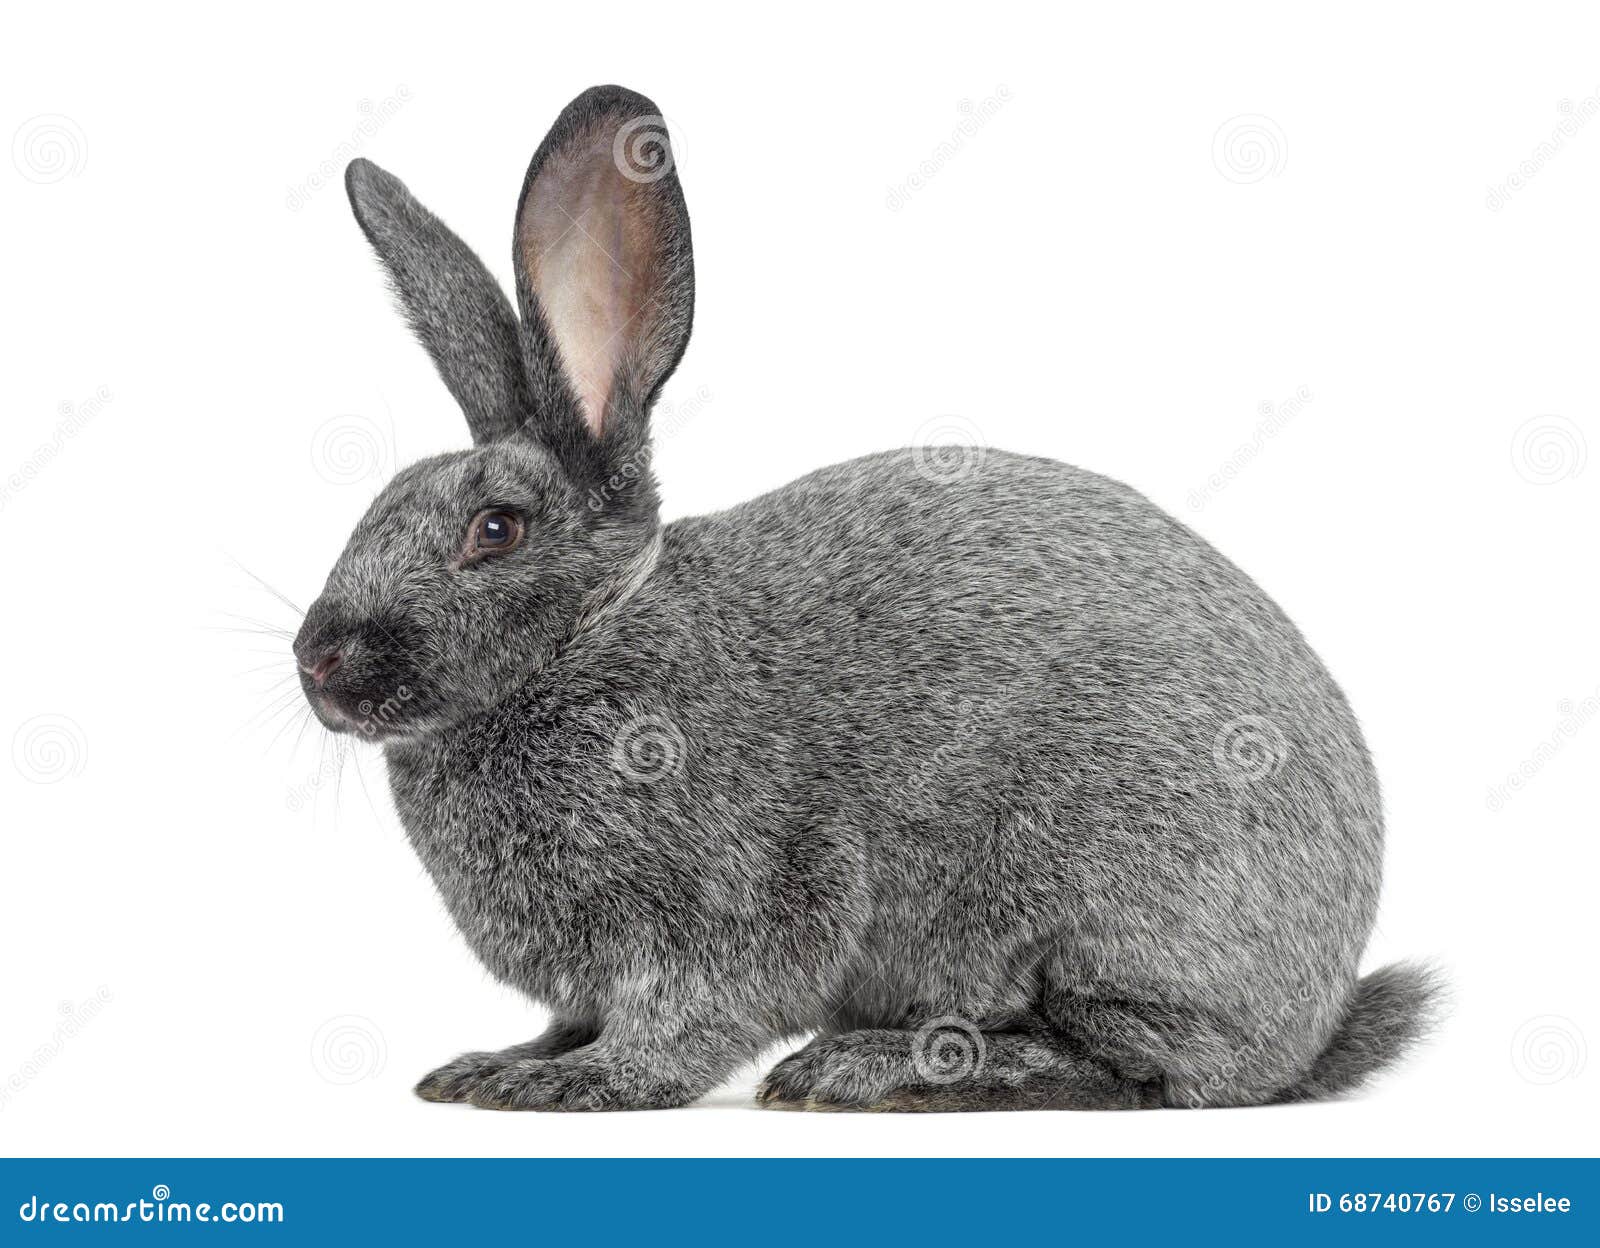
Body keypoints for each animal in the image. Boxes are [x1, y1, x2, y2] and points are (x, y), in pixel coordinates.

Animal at [292, 84, 1438, 1112]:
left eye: (496, 530)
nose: (318, 662)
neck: (590, 635)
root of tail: (1309, 1025)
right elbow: (572, 1016)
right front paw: (492, 1064)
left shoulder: (729, 909)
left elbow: (677, 1028)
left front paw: (565, 1084)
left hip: (1113, 914)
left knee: (1130, 1070)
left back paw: (864, 1070)